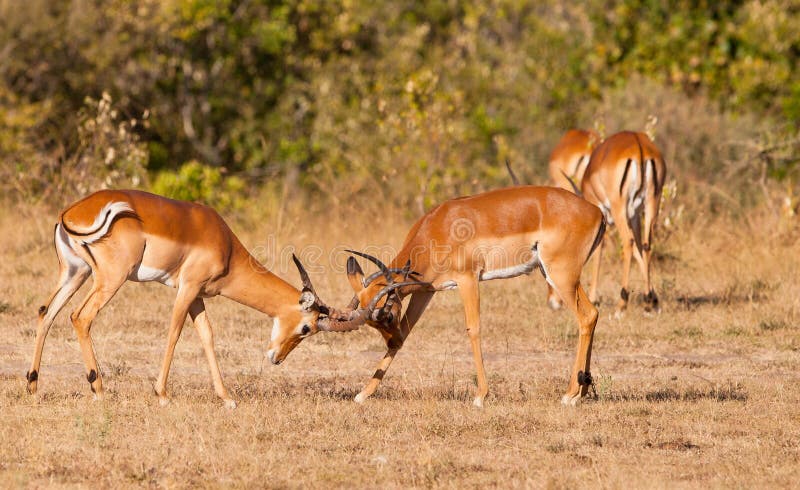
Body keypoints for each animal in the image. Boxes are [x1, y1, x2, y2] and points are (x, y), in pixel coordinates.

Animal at [27, 189, 362, 408]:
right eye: (306, 327)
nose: (276, 358)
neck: (224, 244)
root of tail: (70, 213)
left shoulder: (198, 296)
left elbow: (207, 336)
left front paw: (227, 398)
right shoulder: (187, 288)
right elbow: (174, 332)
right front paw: (162, 394)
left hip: (75, 273)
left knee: (47, 312)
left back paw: (32, 385)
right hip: (110, 279)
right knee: (80, 317)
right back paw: (99, 390)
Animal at [268, 186, 605, 407]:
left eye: (385, 314)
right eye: (376, 324)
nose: (389, 337)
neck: (437, 230)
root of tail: (596, 213)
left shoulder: (468, 279)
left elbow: (474, 329)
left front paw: (480, 396)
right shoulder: (425, 291)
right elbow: (406, 335)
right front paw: (363, 394)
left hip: (561, 274)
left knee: (586, 316)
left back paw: (570, 395)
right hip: (556, 275)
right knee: (592, 315)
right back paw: (582, 390)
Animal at [581, 131, 667, 313]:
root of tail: (638, 144)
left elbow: (599, 250)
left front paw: (593, 298)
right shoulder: (634, 216)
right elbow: (639, 250)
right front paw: (652, 299)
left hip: (619, 207)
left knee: (628, 242)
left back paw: (621, 304)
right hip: (652, 203)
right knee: (646, 245)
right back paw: (648, 303)